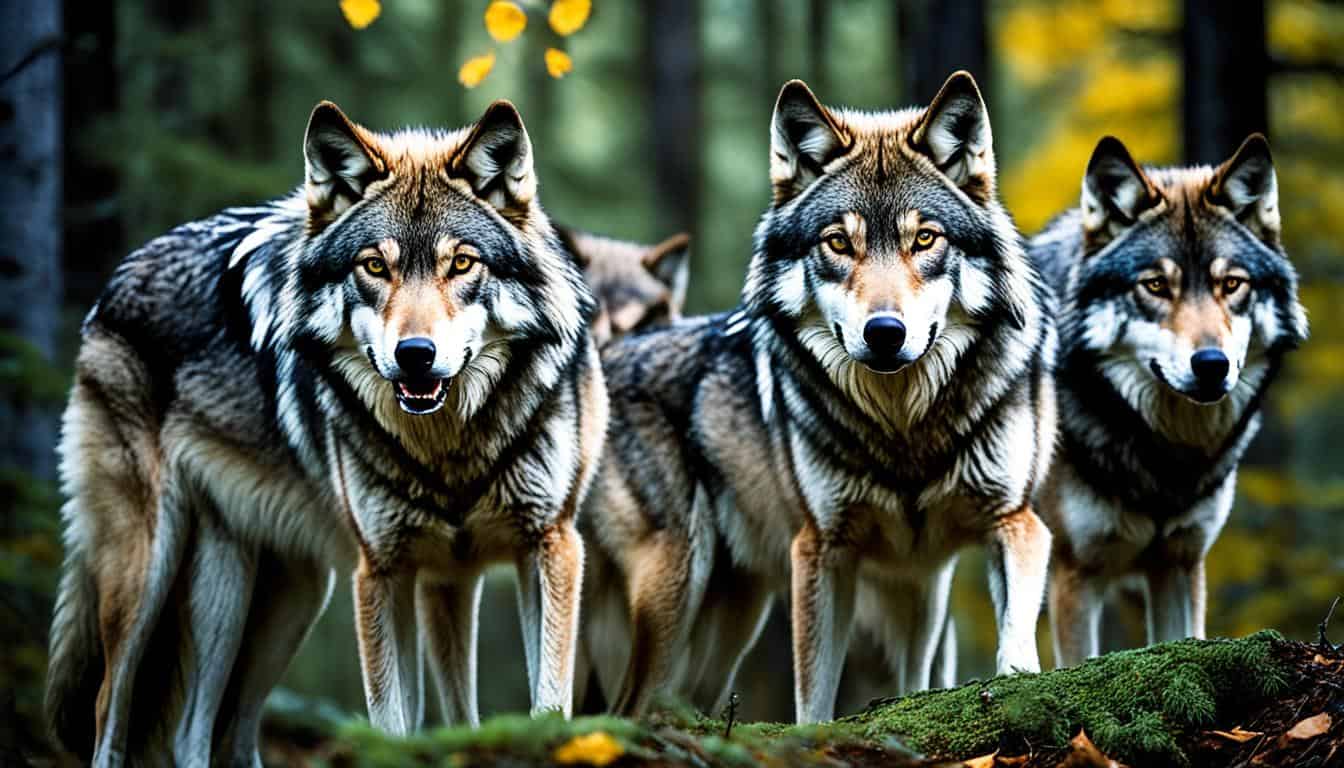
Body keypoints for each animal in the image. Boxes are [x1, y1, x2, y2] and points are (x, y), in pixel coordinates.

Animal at [45, 100, 605, 766]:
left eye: (462, 263)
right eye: (375, 266)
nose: (415, 355)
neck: (449, 449)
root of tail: (118, 277)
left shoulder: (532, 550)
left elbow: (528, 705)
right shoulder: (382, 570)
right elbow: (393, 721)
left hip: (276, 598)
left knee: (203, 732)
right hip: (148, 576)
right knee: (113, 707)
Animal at [581, 72, 1057, 722]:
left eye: (924, 239)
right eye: (838, 243)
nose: (885, 332)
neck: (904, 426)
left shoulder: (998, 530)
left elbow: (993, 643)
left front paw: (1015, 678)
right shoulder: (823, 549)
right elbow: (814, 700)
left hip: (730, 619)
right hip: (678, 583)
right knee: (630, 708)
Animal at [1033, 134, 1306, 667]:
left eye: (1231, 284)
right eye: (1156, 286)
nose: (1212, 364)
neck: (1165, 455)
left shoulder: (1180, 562)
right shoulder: (1075, 574)